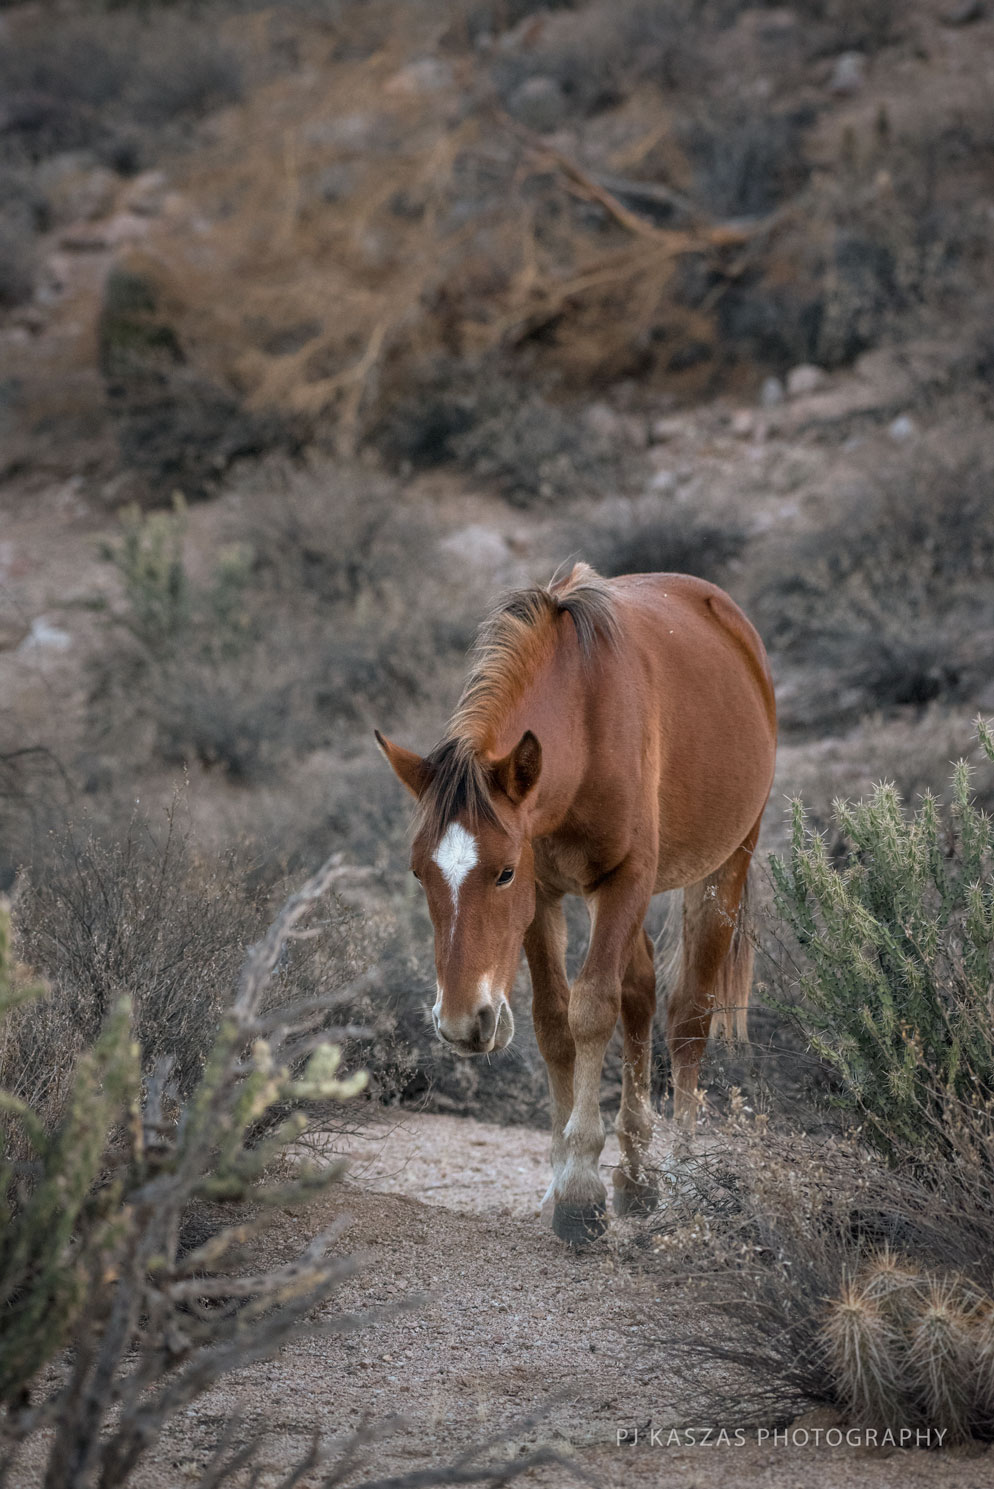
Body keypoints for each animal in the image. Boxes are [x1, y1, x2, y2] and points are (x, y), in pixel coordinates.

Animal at [376, 562, 777, 1245]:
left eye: (503, 872)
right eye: (418, 873)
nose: (461, 1024)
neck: (586, 730)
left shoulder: (621, 881)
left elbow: (591, 1010)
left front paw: (583, 1194)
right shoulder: (547, 897)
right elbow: (554, 1023)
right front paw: (562, 1180)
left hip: (724, 867)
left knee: (687, 1015)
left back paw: (683, 1179)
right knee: (640, 990)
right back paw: (637, 1179)